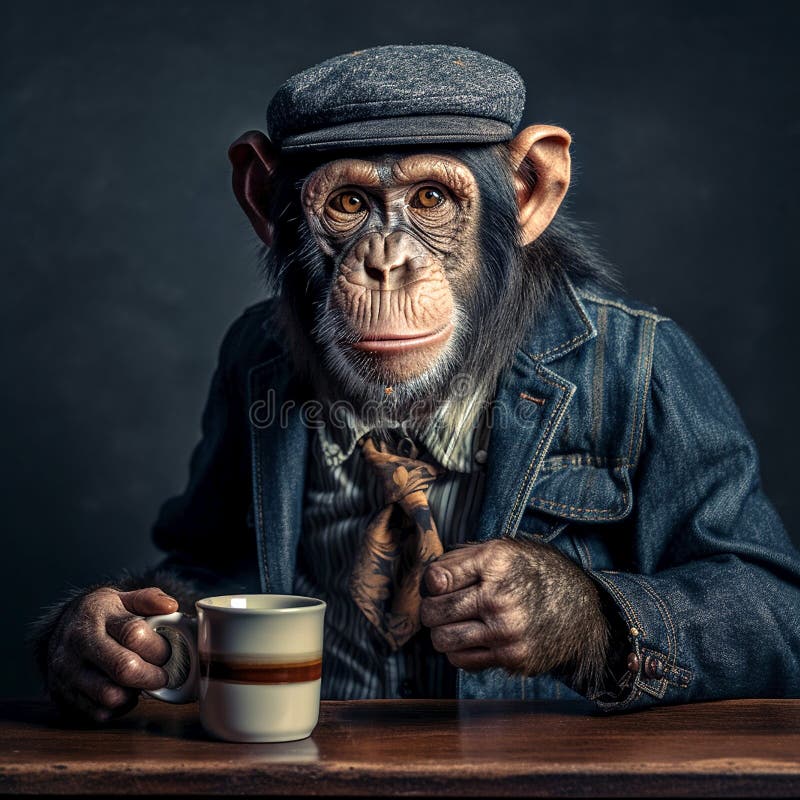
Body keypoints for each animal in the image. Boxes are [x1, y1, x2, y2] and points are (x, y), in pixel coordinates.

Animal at [31, 44, 800, 722]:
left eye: (429, 196)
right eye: (348, 203)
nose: (384, 262)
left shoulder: (672, 372)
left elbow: (756, 580)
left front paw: (532, 598)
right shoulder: (237, 363)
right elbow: (202, 553)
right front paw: (98, 638)